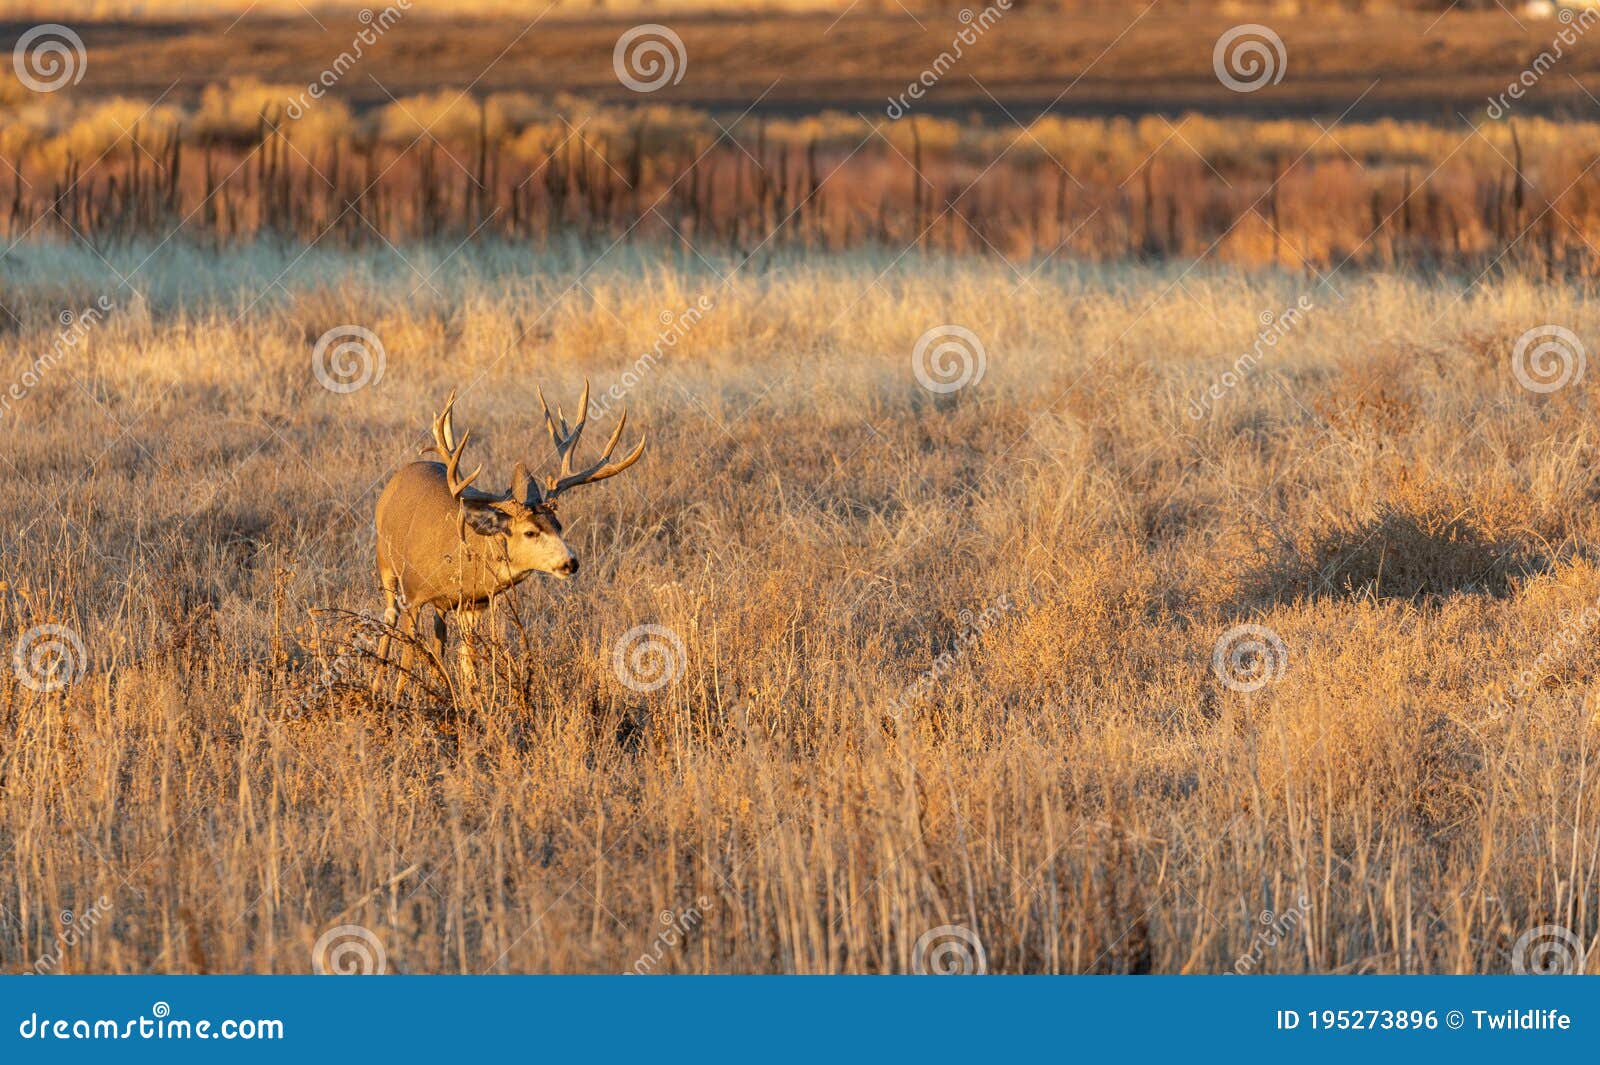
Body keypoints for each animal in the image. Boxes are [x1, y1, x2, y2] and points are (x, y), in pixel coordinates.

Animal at [373, 382, 645, 697]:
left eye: (559, 525)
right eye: (530, 532)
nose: (571, 563)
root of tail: (398, 476)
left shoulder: (474, 604)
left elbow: (469, 665)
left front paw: (470, 701)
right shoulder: (413, 593)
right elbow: (407, 659)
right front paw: (398, 698)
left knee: (439, 633)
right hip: (385, 564)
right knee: (389, 618)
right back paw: (378, 683)